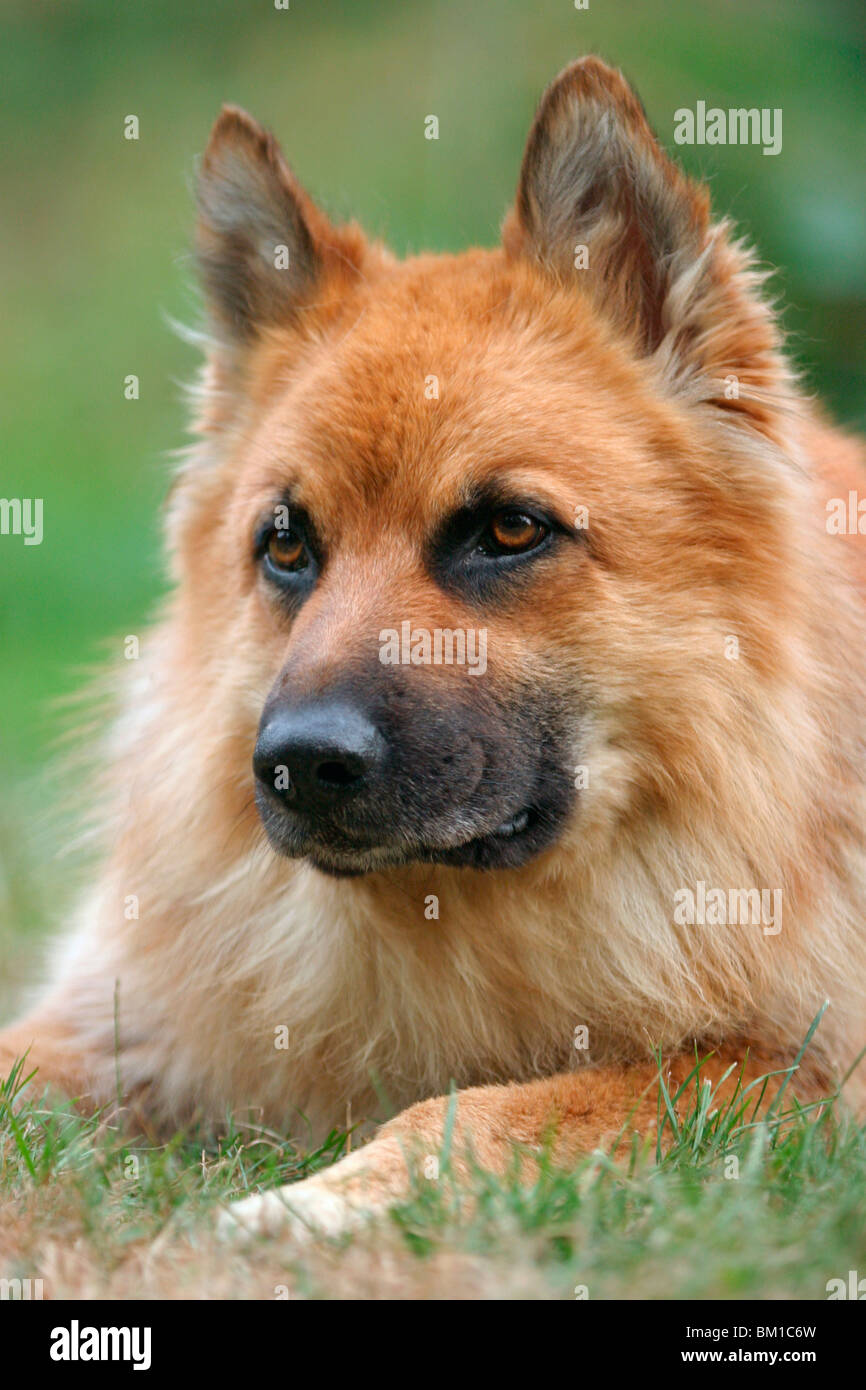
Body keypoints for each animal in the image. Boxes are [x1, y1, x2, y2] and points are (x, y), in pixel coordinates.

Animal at [2, 56, 865, 1241]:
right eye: (285, 544)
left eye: (507, 530)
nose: (299, 763)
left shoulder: (787, 1068)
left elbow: (493, 1108)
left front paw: (308, 1206)